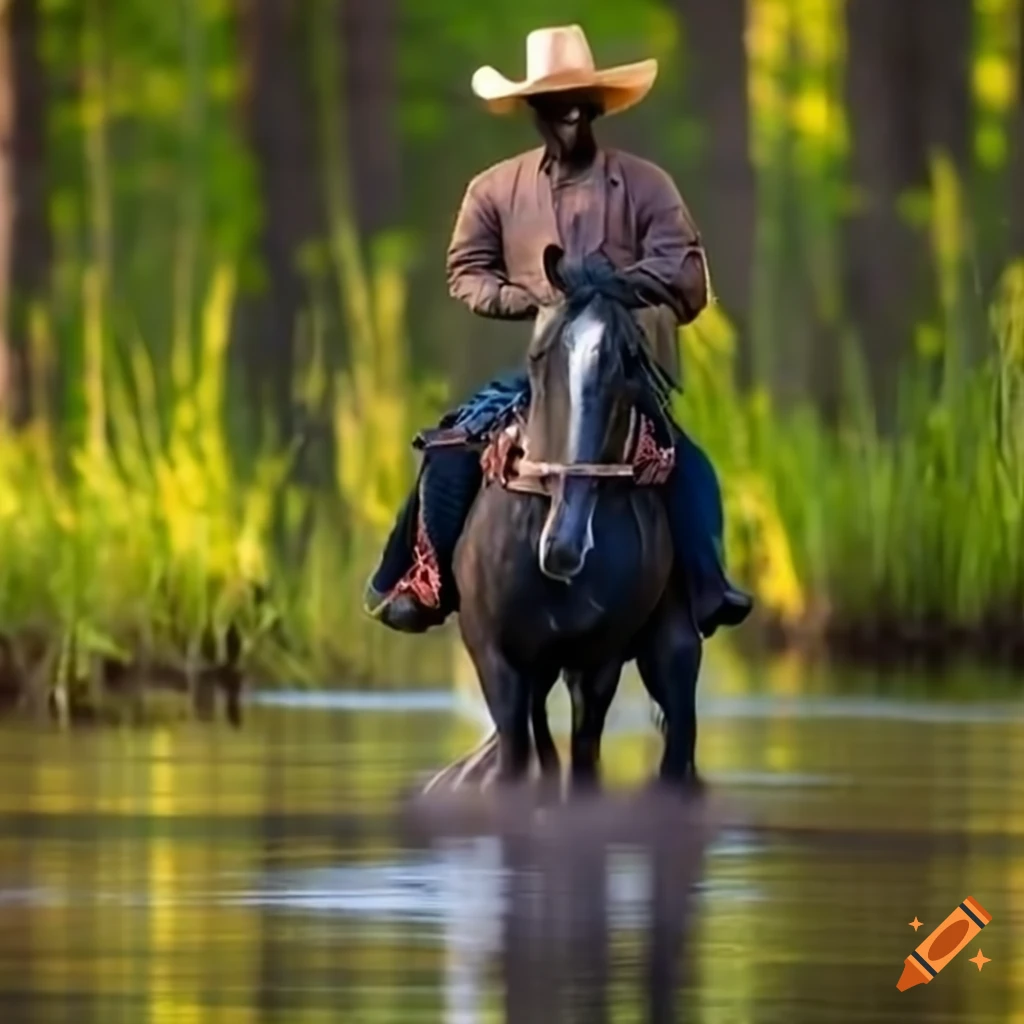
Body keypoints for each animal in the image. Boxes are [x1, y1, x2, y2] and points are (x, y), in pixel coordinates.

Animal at [436, 248, 704, 793]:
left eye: (627, 362)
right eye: (539, 356)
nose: (565, 545)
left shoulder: (597, 660)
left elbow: (583, 761)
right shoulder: (495, 654)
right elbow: (517, 755)